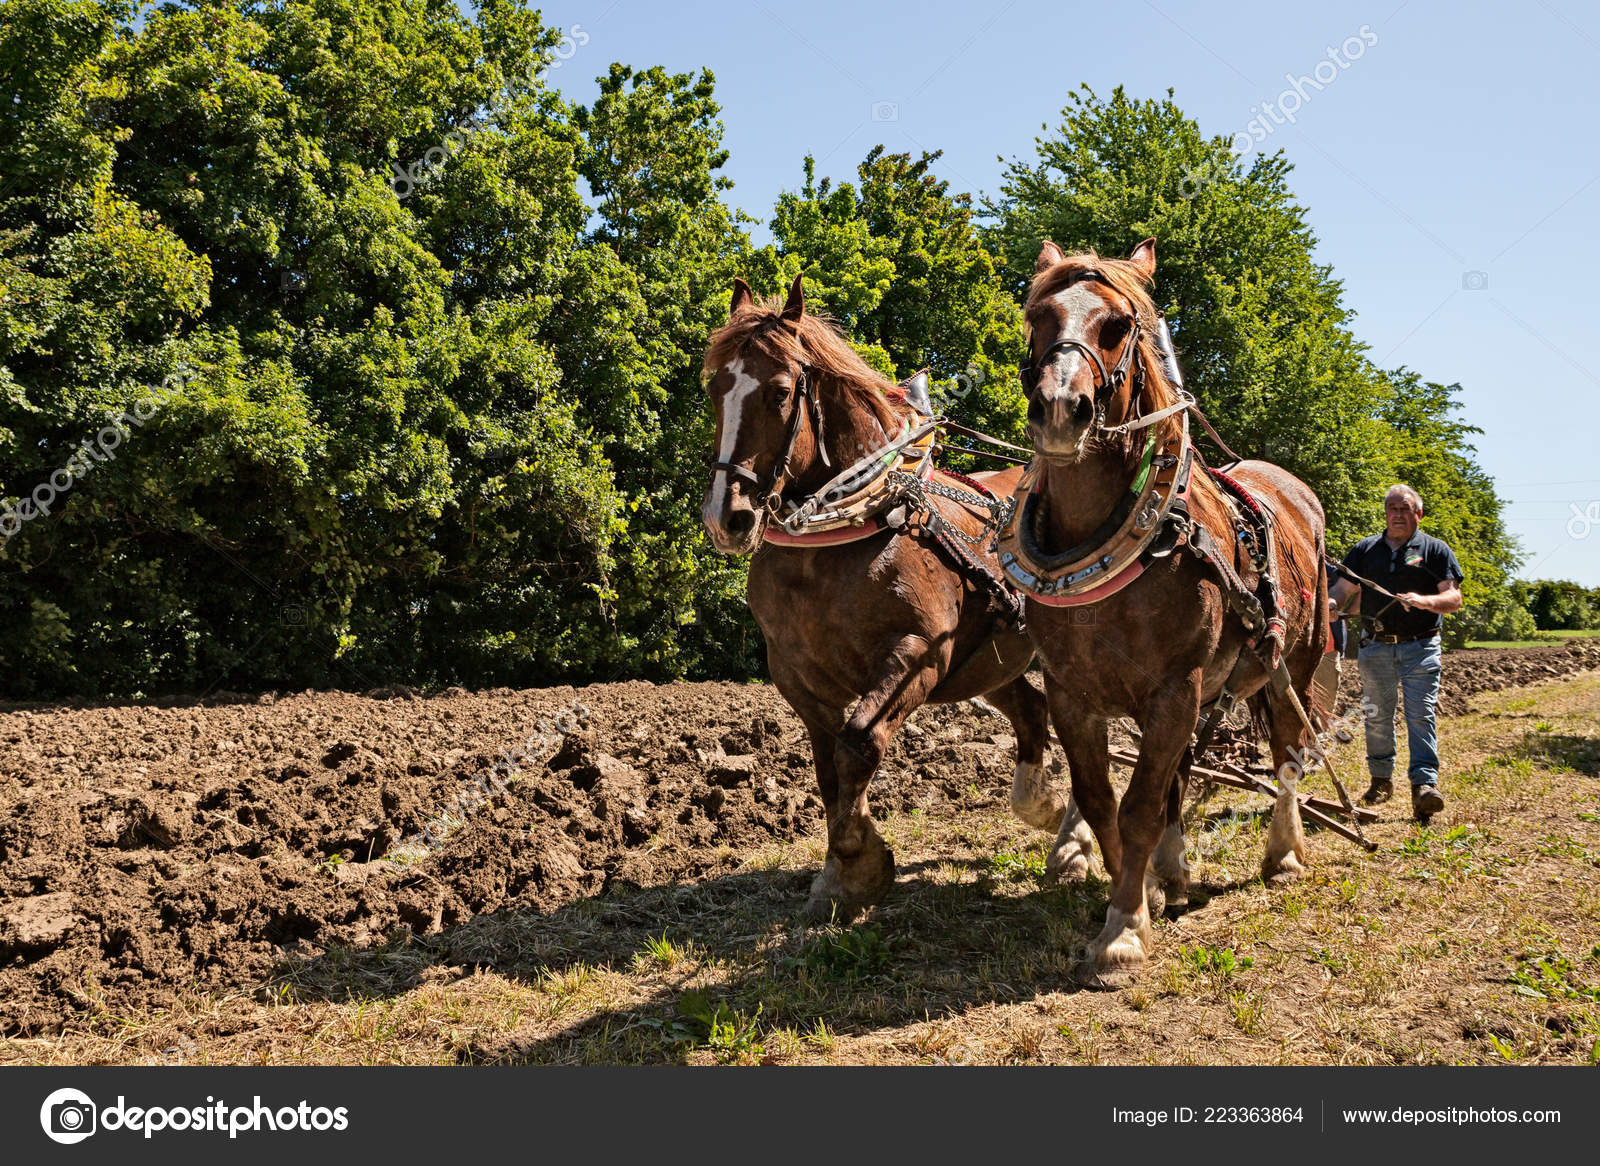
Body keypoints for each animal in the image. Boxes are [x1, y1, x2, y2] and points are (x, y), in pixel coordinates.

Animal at [700, 274, 1077, 918]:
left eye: (779, 392)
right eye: (714, 387)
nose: (729, 517)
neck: (834, 540)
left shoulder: (918, 652)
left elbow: (856, 746)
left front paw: (859, 866)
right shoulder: (794, 671)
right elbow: (827, 768)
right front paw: (841, 867)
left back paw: (1078, 837)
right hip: (990, 662)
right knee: (1033, 711)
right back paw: (1044, 808)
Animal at [1012, 238, 1330, 986]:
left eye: (1119, 325)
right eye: (1038, 316)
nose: (1059, 409)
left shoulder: (1174, 688)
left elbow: (1139, 808)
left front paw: (1124, 933)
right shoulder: (1071, 693)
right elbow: (1104, 801)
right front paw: (1140, 893)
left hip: (1294, 664)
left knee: (1288, 754)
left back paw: (1285, 853)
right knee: (1182, 776)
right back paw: (1175, 871)